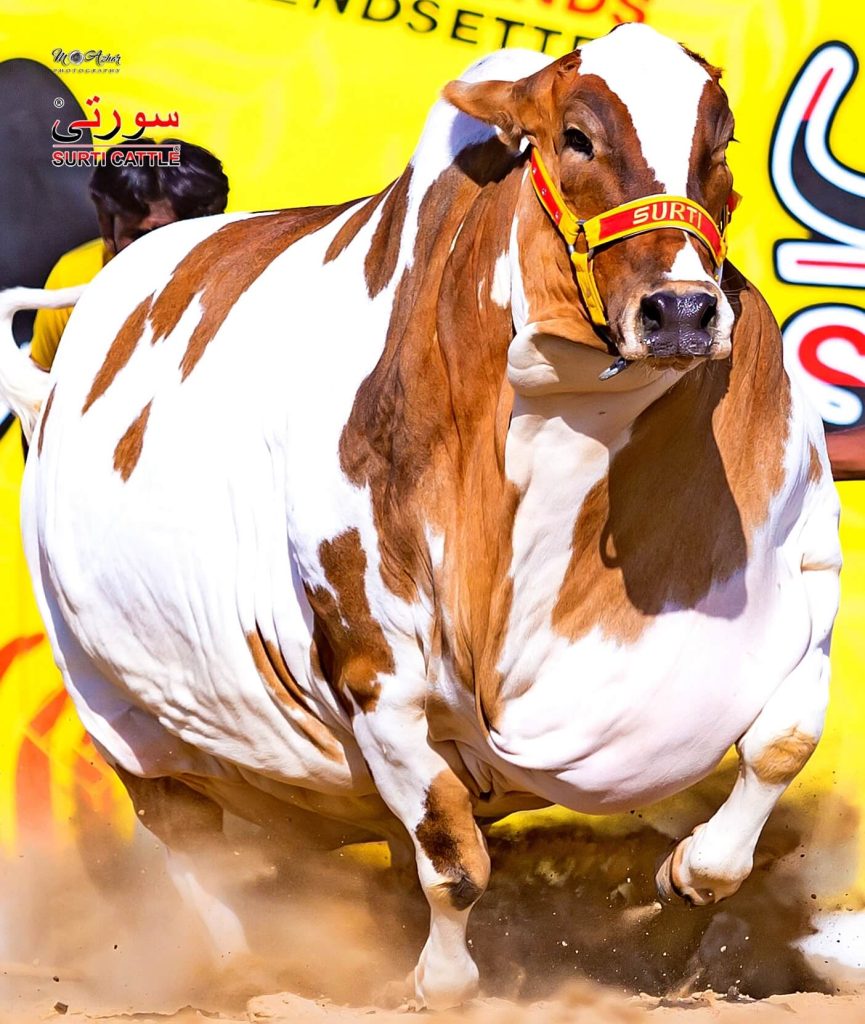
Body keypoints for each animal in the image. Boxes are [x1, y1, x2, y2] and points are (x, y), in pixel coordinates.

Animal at [0, 24, 841, 1010]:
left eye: (721, 142)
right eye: (574, 137)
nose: (680, 311)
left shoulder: (803, 576)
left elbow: (781, 747)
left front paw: (681, 883)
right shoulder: (373, 662)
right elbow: (450, 851)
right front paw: (443, 982)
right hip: (113, 704)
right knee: (181, 829)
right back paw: (236, 961)